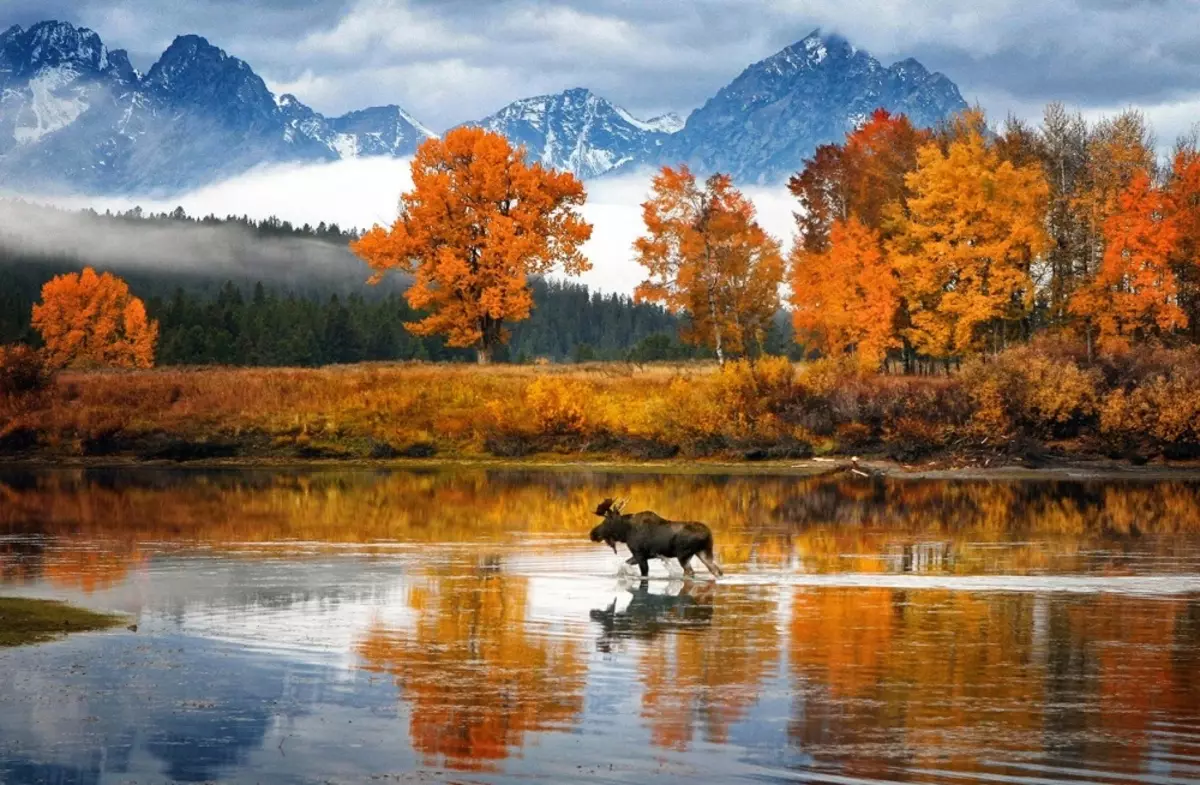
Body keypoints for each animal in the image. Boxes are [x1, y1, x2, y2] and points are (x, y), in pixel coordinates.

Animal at [588, 501, 720, 580]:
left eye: (606, 521)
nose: (592, 533)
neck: (625, 533)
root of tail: (708, 534)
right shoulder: (645, 555)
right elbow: (625, 563)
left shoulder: (639, 554)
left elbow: (644, 573)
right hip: (704, 552)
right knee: (717, 570)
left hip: (683, 555)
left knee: (690, 572)